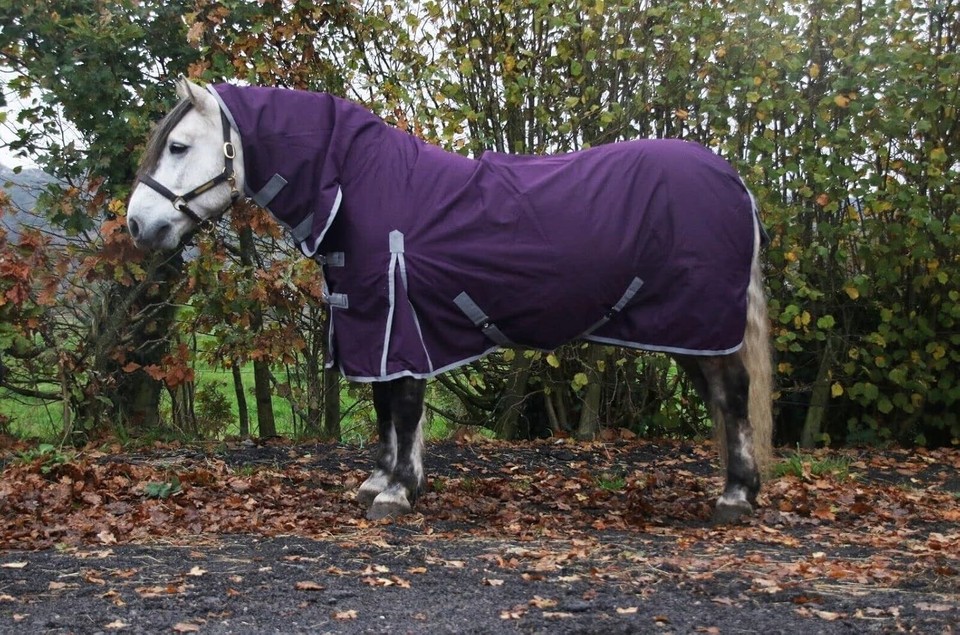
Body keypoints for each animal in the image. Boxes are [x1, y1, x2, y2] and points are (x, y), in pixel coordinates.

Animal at [127, 78, 773, 523]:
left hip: (696, 325)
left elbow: (404, 406)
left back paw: (736, 497)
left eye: (178, 146)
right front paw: (385, 480)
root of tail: (734, 180)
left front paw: (395, 493)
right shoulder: (371, 325)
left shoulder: (394, 320)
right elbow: (386, 409)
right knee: (722, 400)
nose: (137, 225)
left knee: (732, 395)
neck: (358, 188)